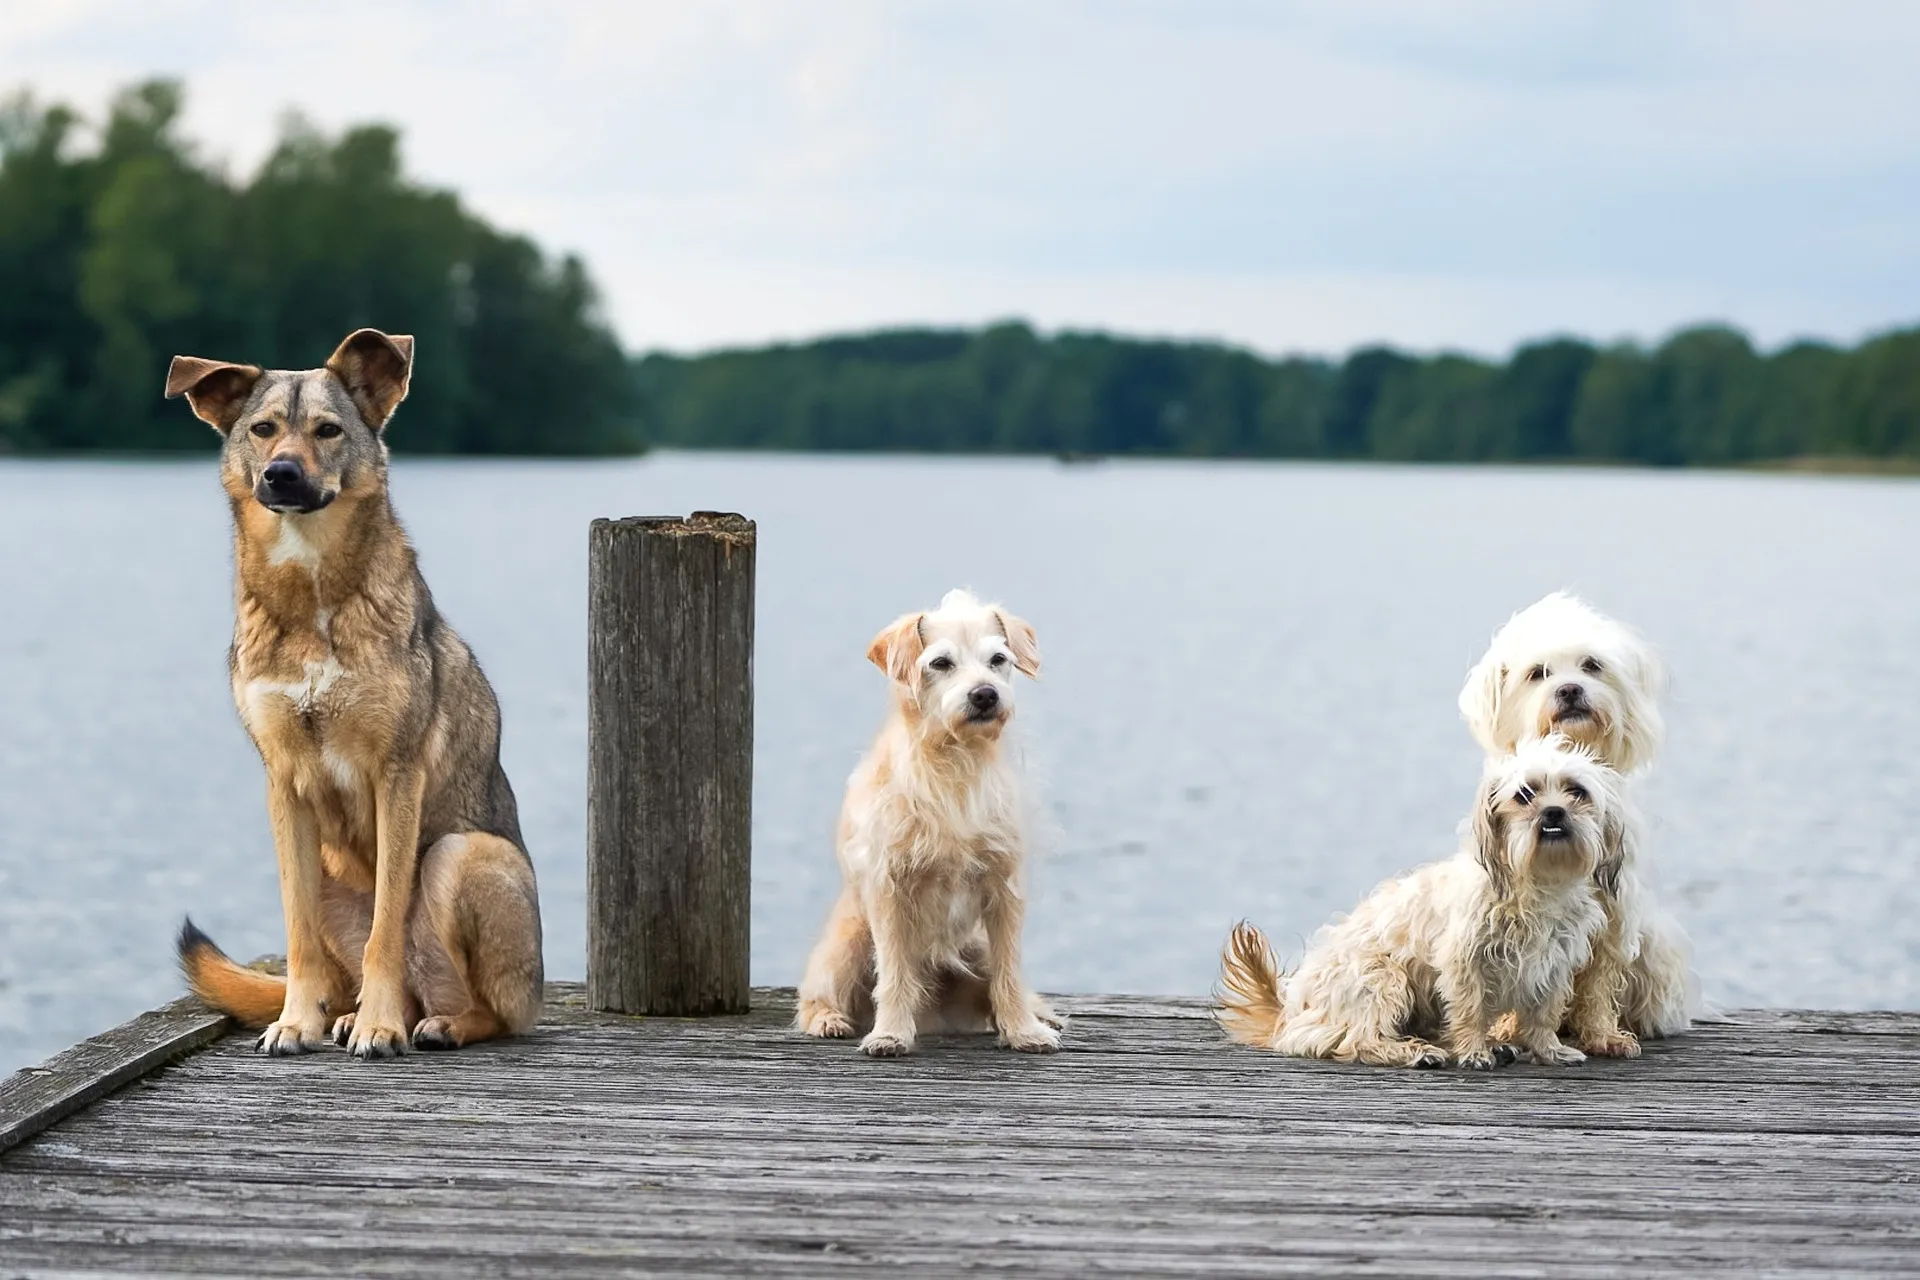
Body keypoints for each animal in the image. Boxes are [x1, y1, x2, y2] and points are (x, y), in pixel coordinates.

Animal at [167, 330, 541, 1059]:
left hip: (462, 856)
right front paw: (296, 1021)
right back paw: (346, 1015)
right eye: (262, 429)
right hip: (332, 875)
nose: (281, 475)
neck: (311, 593)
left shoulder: (395, 774)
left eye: (328, 430)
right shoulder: (284, 783)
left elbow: (386, 930)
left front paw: (379, 1026)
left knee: (491, 1009)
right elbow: (298, 937)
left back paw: (434, 1024)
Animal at [1213, 736, 1620, 1066]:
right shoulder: (1464, 961)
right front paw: (1474, 1052)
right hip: (1382, 977)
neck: (1537, 881)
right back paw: (1415, 1052)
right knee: (1357, 1041)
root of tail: (1291, 1012)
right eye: (1525, 794)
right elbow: (1470, 1009)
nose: (1553, 812)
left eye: (1577, 791)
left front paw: (1548, 1049)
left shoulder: (1552, 964)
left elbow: (1542, 1014)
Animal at [1451, 594, 1697, 1051]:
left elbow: (1600, 981)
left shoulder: (1615, 912)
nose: (1569, 689)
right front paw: (1508, 1029)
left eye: (1591, 666)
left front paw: (1603, 1035)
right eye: (1538, 673)